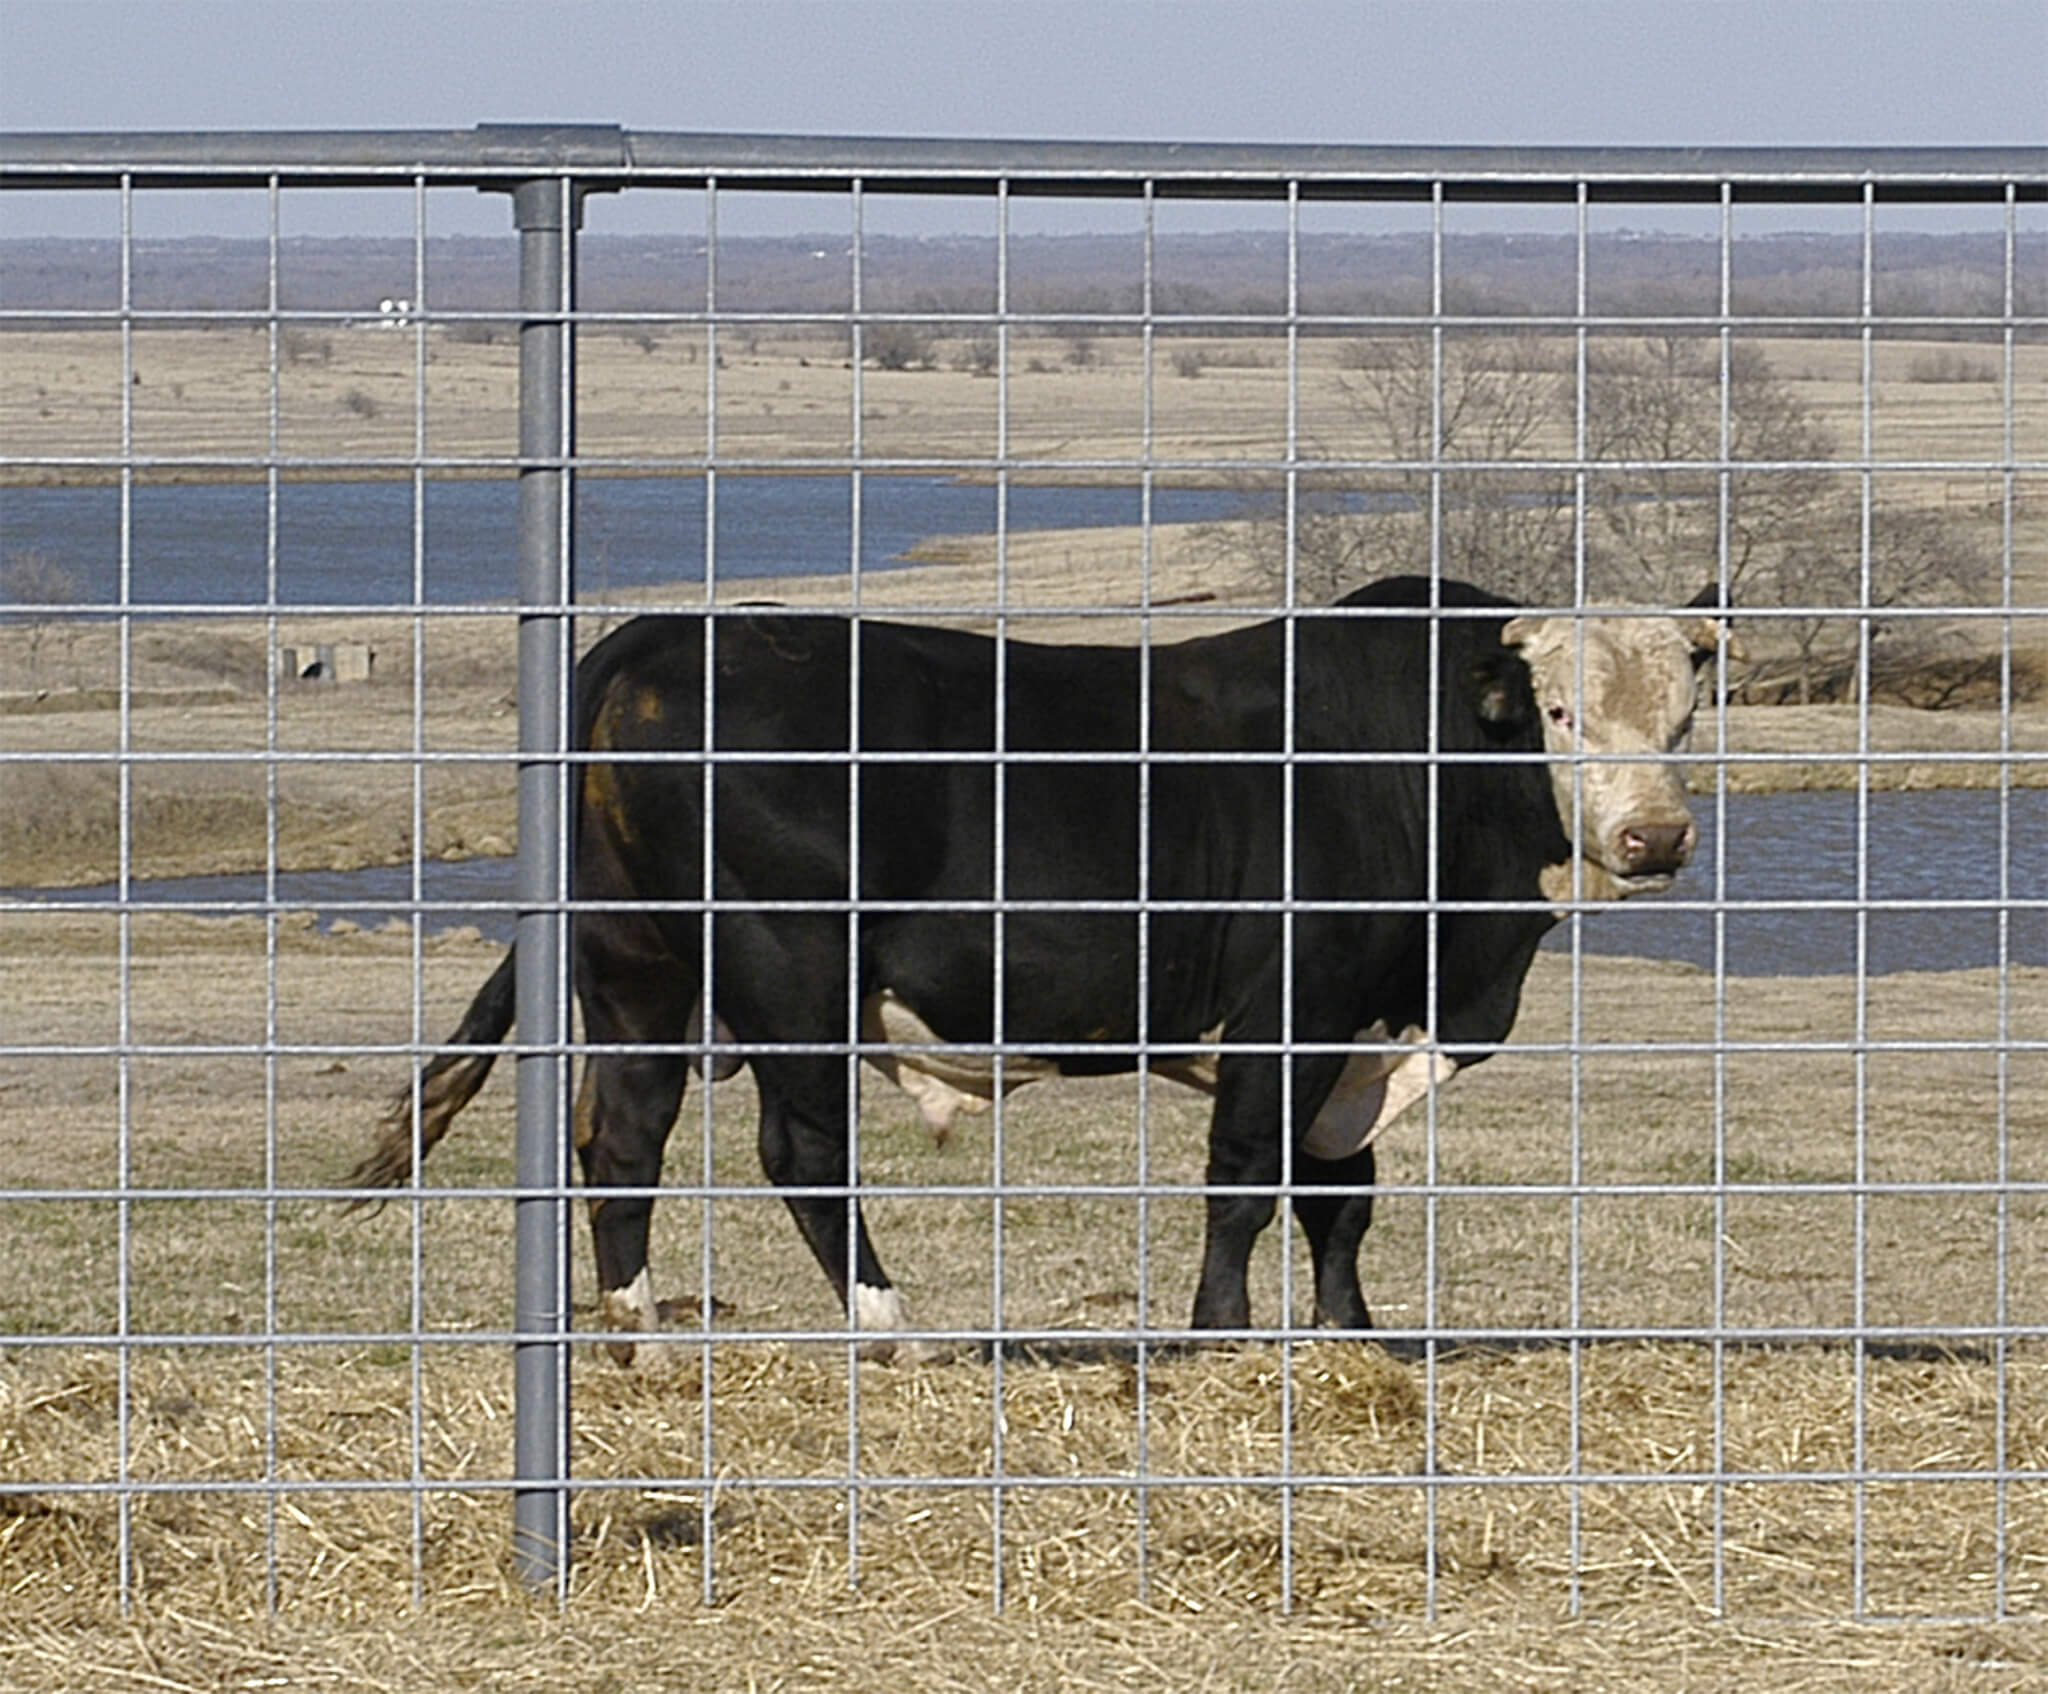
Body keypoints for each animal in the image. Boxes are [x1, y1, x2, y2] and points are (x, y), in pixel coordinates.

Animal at [350, 575, 1724, 1361]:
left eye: (1680, 715)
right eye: (1558, 713)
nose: (1653, 837)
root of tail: (655, 643)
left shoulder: (1356, 1031)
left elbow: (1341, 1195)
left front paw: (1353, 1340)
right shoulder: (1287, 1010)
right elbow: (1246, 1181)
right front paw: (1217, 1340)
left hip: (637, 968)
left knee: (622, 1139)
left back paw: (639, 1344)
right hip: (786, 968)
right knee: (800, 1150)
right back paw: (889, 1330)